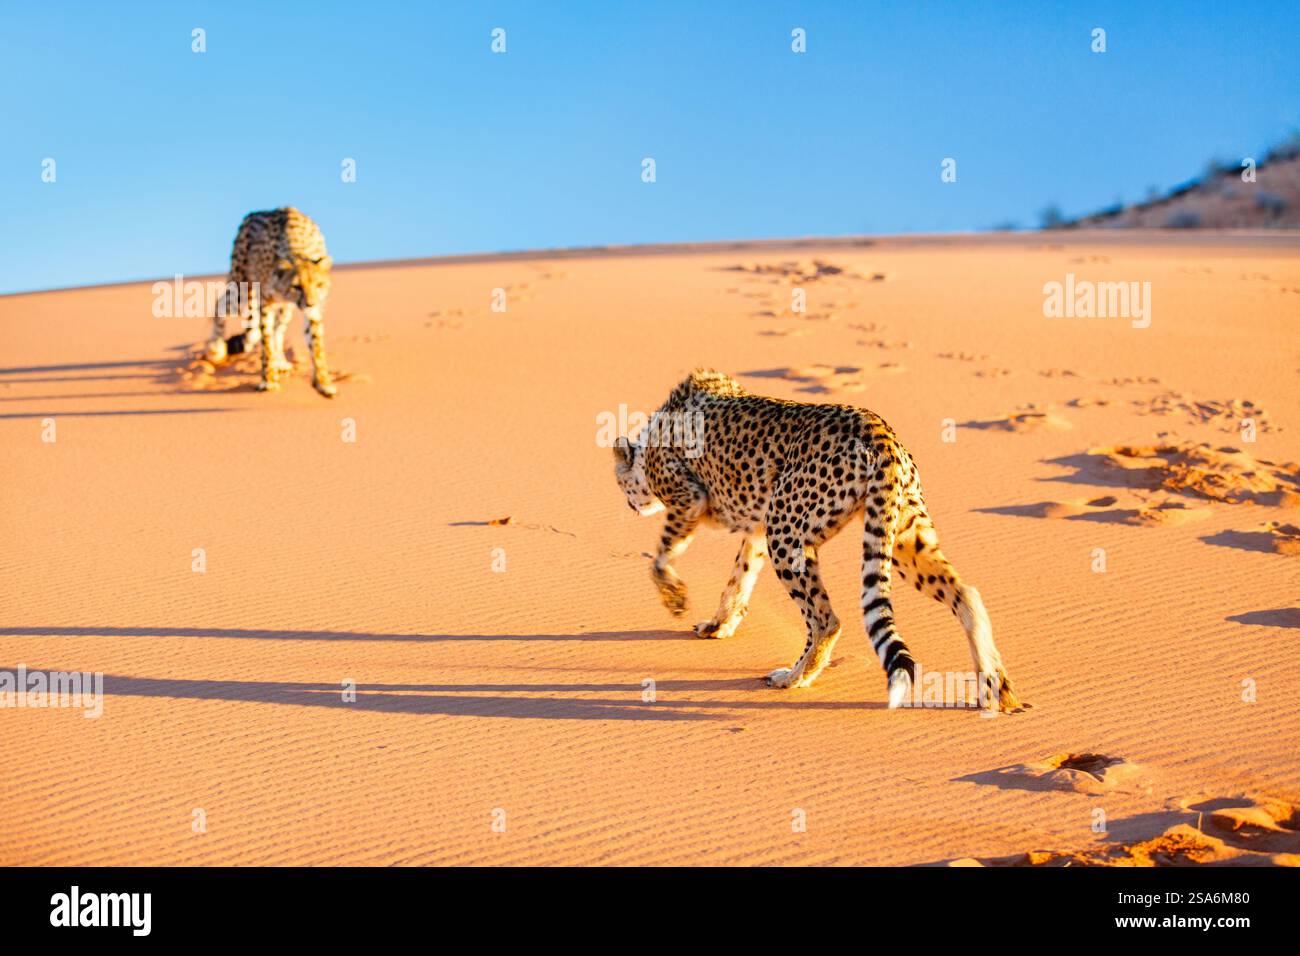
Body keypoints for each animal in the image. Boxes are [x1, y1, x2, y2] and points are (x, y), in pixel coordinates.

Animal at [205, 207, 338, 397]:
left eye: (319, 285)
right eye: (297, 286)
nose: (310, 303)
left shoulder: (308, 309)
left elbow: (315, 343)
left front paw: (323, 382)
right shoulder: (265, 303)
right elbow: (266, 340)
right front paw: (268, 379)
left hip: (283, 308)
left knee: (278, 331)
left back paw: (280, 361)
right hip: (242, 290)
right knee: (220, 304)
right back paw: (215, 348)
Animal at [612, 369, 1021, 712]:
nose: (630, 505)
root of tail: (875, 425)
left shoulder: (690, 499)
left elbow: (662, 555)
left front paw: (674, 596)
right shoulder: (757, 528)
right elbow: (739, 579)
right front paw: (720, 624)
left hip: (787, 532)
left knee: (826, 620)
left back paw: (794, 677)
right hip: (899, 536)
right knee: (966, 594)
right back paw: (996, 688)